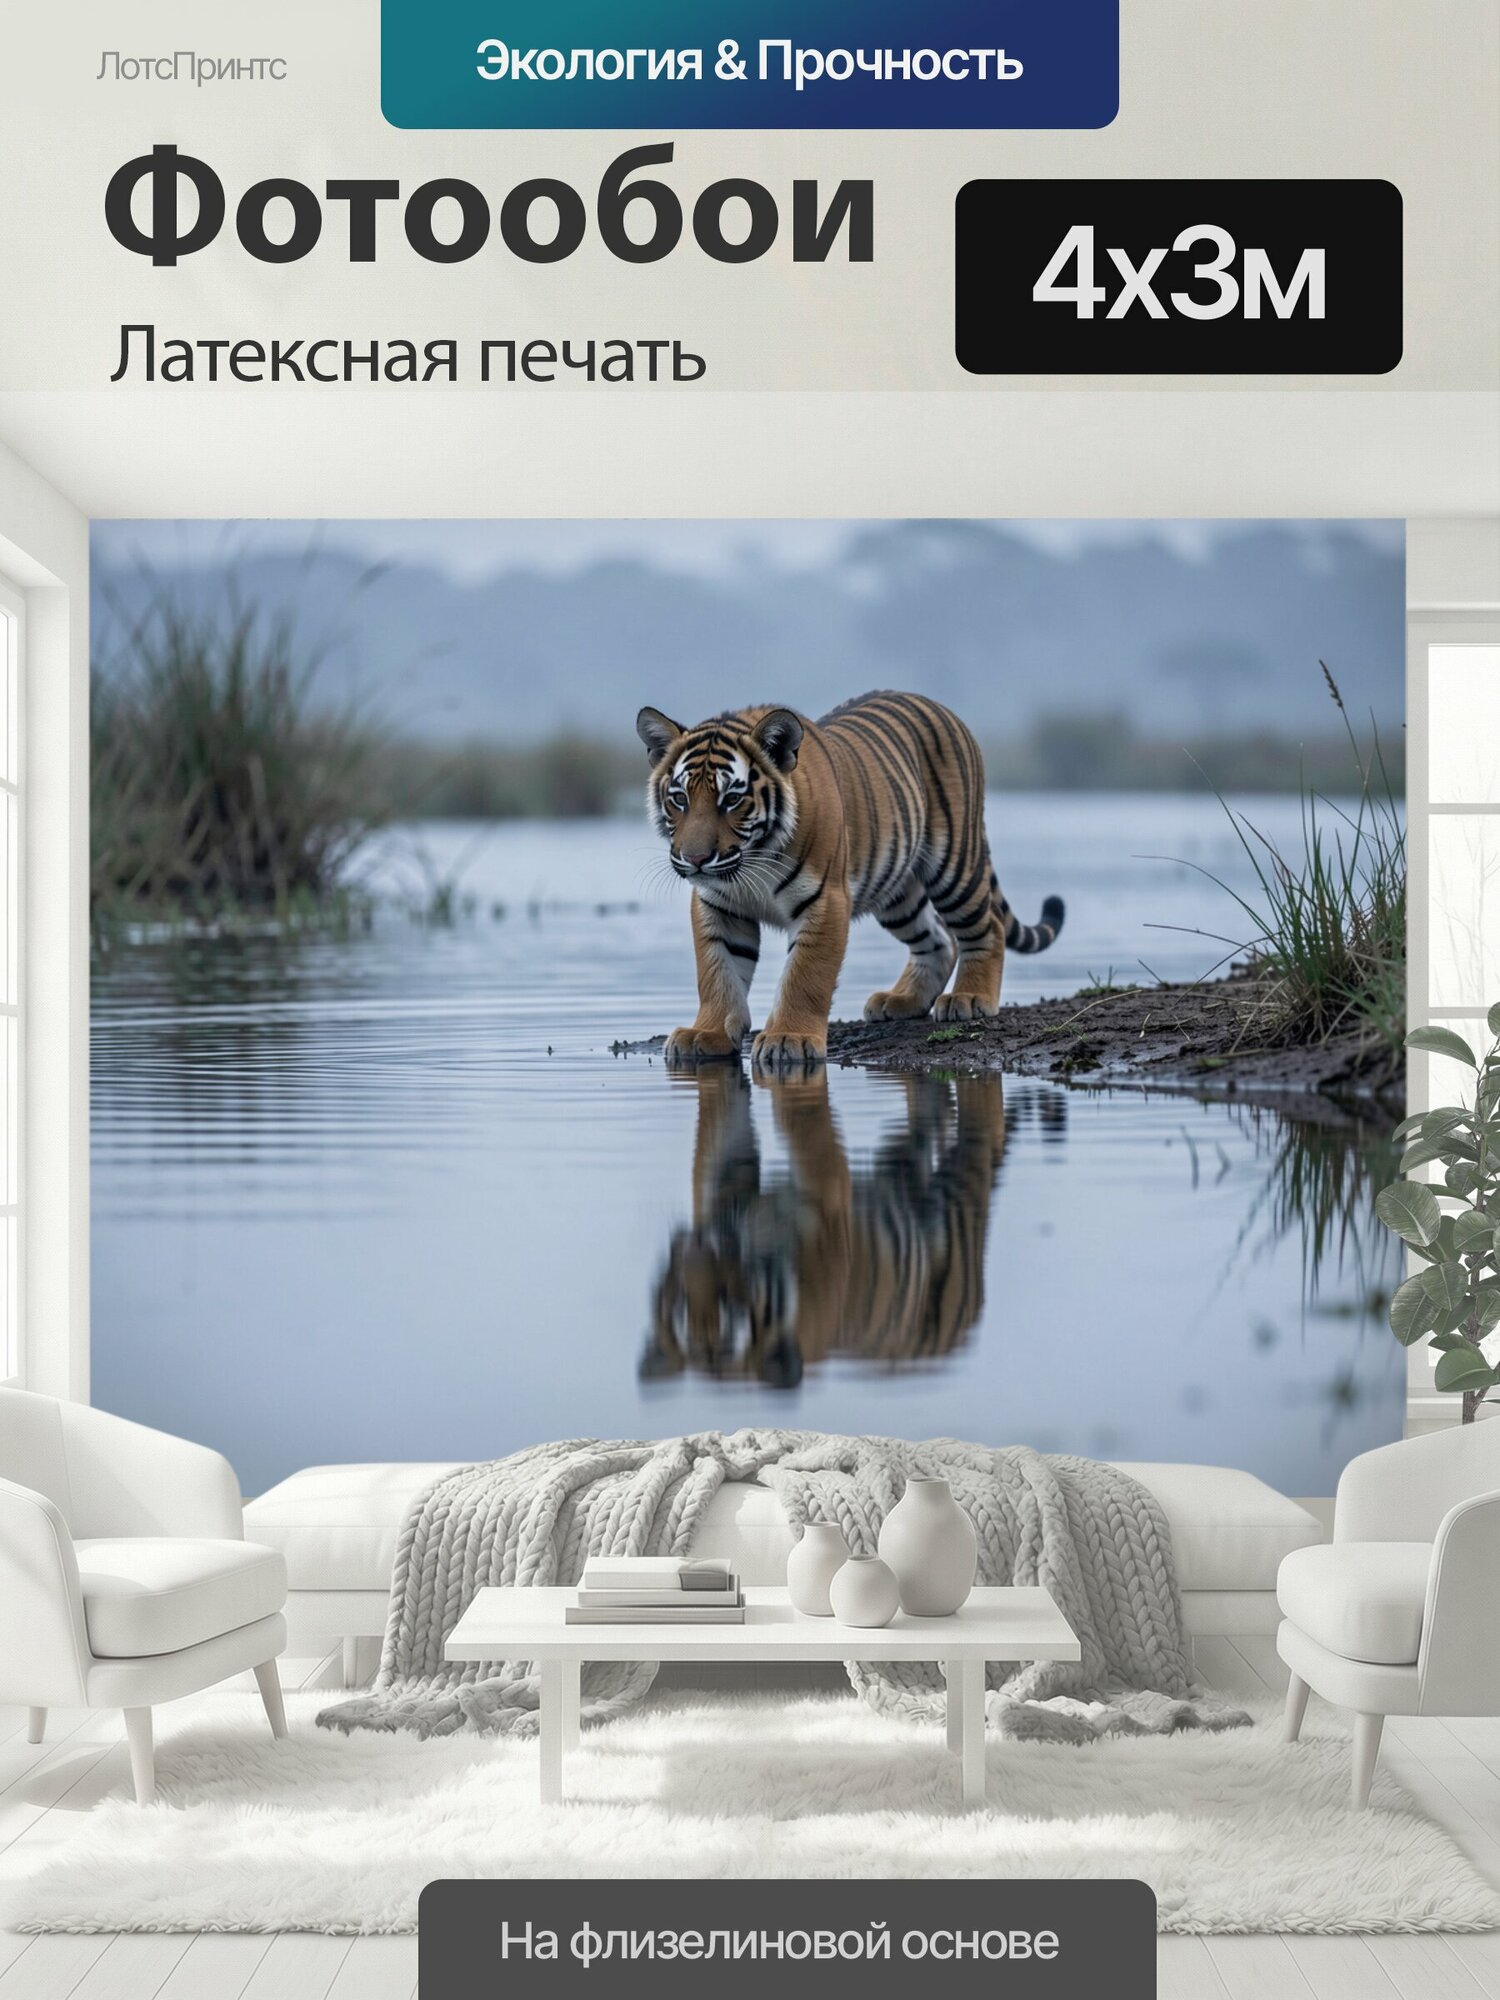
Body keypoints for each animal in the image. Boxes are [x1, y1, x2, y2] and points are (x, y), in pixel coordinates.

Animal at [637, 690, 1064, 1069]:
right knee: (940, 939)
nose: (695, 860)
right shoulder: (716, 904)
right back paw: (902, 1001)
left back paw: (970, 999)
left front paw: (789, 1038)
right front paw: (705, 1034)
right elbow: (717, 973)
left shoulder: (825, 900)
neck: (750, 862)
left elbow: (805, 975)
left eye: (731, 800)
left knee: (987, 926)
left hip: (953, 863)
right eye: (679, 799)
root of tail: (938, 706)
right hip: (897, 892)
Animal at [640, 1065, 1009, 1387]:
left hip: (960, 1195)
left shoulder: (825, 1201)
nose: (695, 1250)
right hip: (902, 1173)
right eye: (683, 1300)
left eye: (727, 1297)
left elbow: (808, 1136)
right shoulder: (730, 1179)